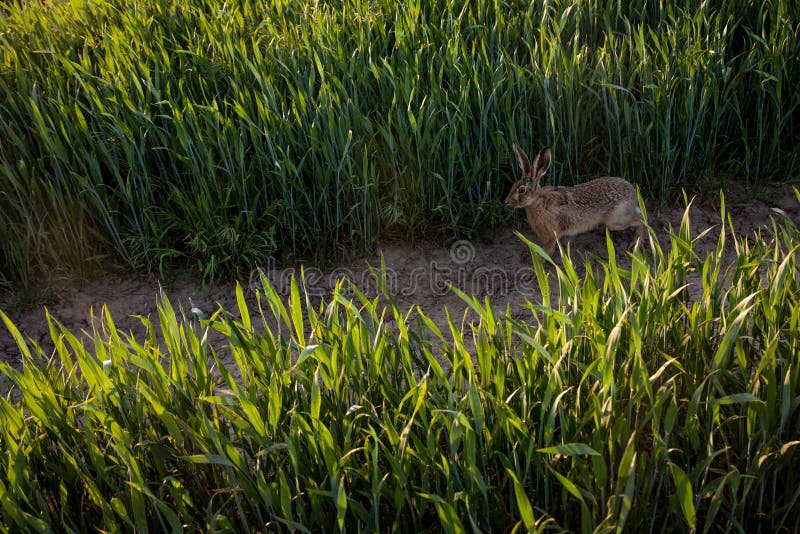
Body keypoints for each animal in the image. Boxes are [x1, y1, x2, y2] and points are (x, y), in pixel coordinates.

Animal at [505, 143, 645, 258]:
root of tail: (633, 194)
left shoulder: (551, 235)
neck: (537, 201)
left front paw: (534, 270)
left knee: (642, 221)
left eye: (521, 190)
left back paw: (634, 246)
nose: (506, 201)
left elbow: (547, 253)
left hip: (616, 221)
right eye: (513, 186)